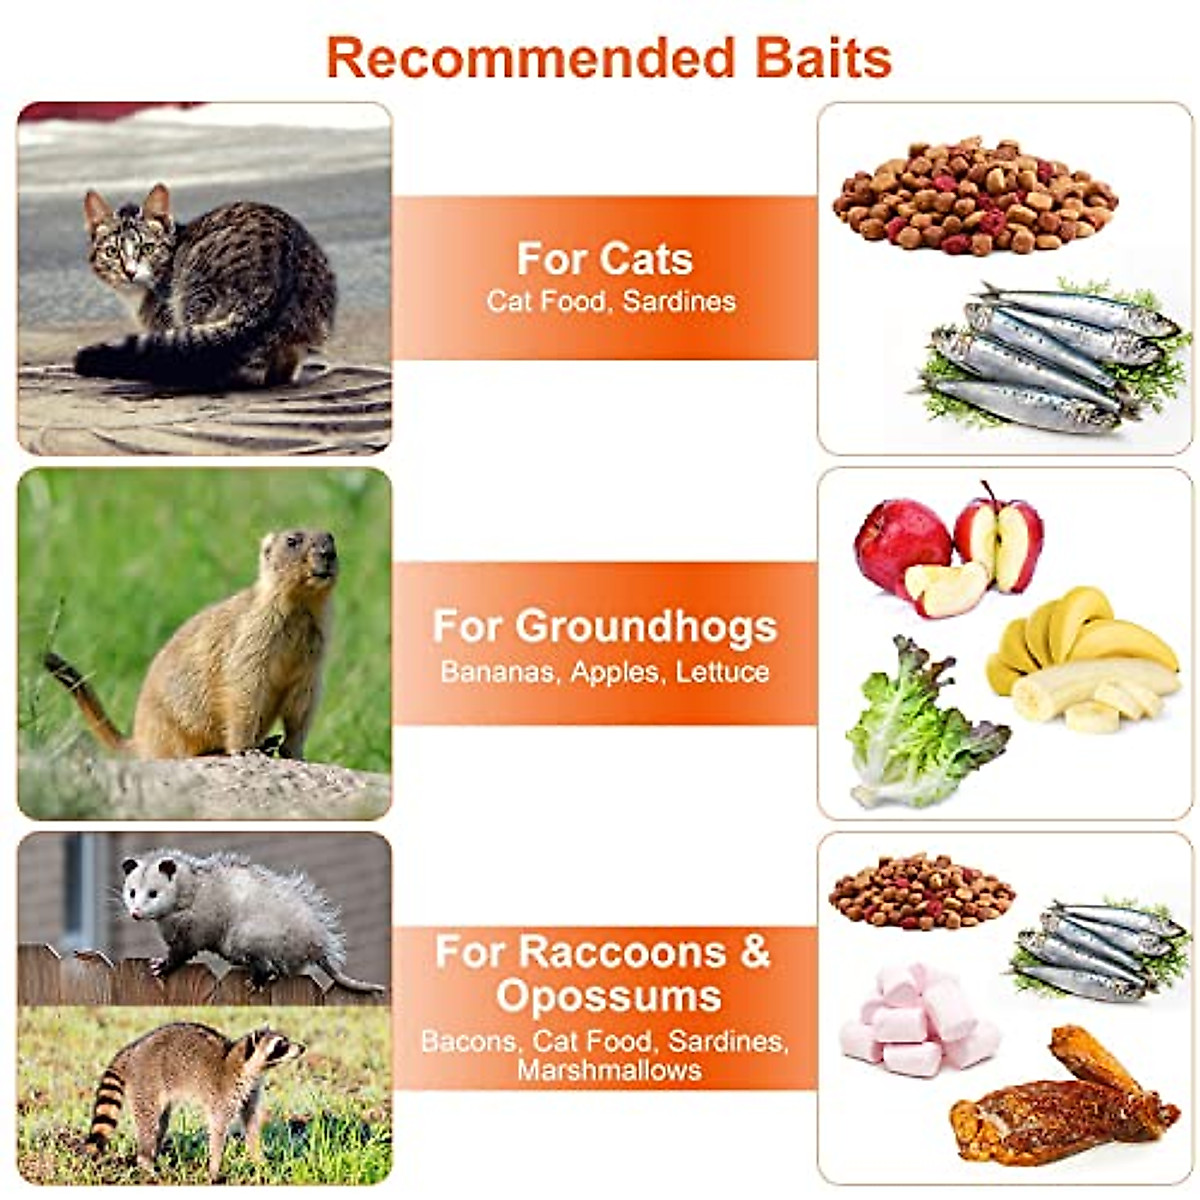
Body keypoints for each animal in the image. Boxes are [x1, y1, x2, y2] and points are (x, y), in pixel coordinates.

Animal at [84, 1022, 304, 1182]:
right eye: (282, 1044)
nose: (302, 1047)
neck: (248, 1066)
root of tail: (131, 1050)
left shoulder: (251, 1092)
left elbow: (251, 1124)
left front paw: (259, 1162)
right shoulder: (225, 1094)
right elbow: (218, 1129)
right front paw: (214, 1169)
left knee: (160, 1124)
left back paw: (153, 1156)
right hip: (146, 1082)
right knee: (148, 1122)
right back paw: (146, 1162)